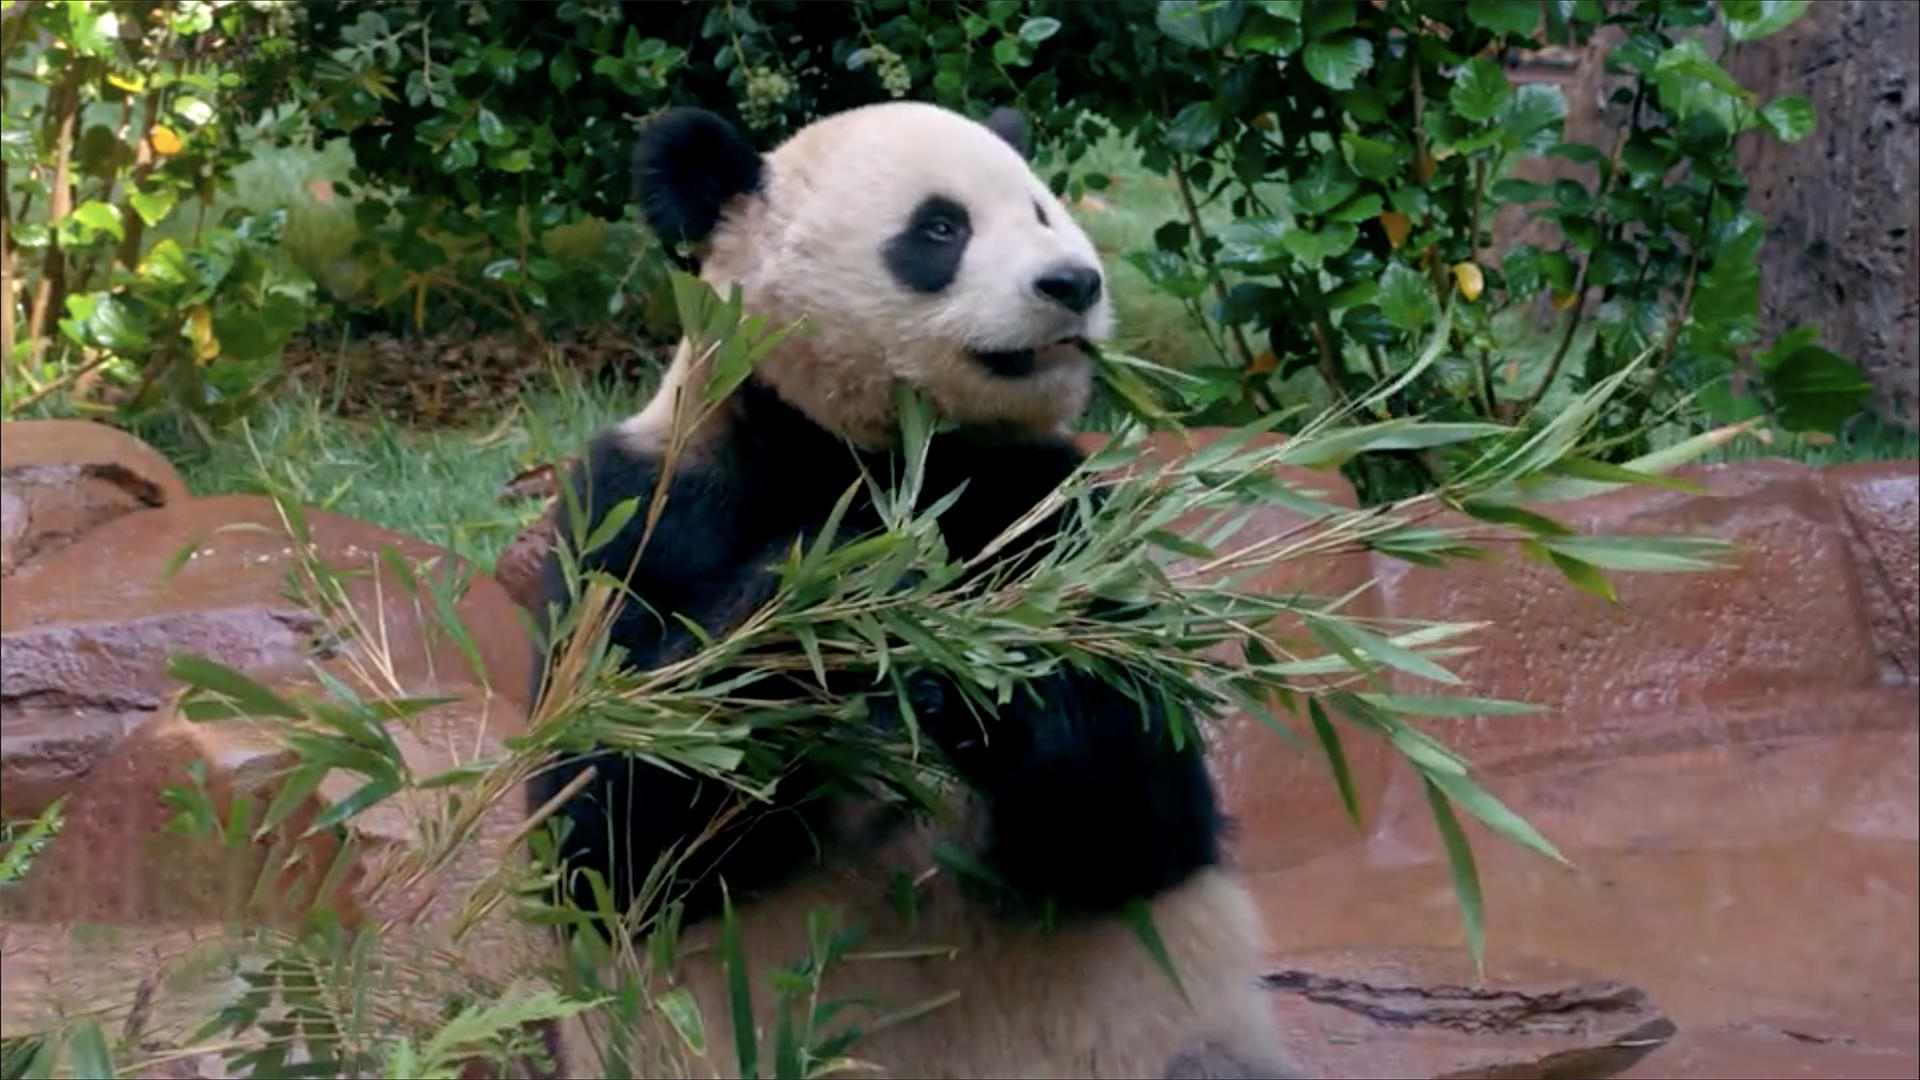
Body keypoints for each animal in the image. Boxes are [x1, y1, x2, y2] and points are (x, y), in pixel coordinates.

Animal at [524, 100, 1301, 1080]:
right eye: (940, 228)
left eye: (1043, 208)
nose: (1074, 283)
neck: (881, 456)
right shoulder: (646, 508)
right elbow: (601, 835)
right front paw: (853, 593)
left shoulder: (1054, 510)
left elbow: (1145, 819)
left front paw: (980, 673)